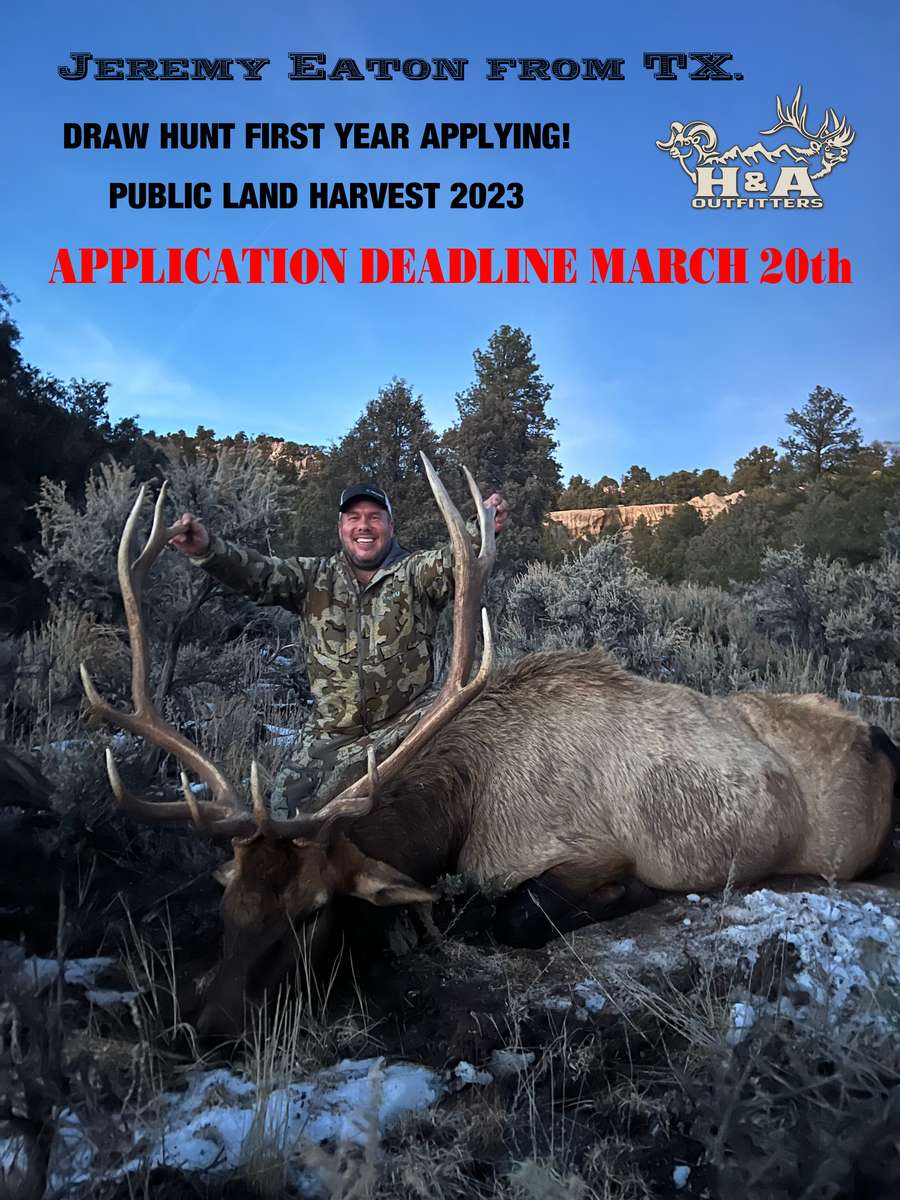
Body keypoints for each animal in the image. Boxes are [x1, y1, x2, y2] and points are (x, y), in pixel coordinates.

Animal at [80, 457, 899, 1037]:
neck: (463, 808)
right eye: (229, 898)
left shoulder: (585, 849)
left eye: (313, 910)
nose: (201, 1025)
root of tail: (877, 735)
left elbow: (506, 916)